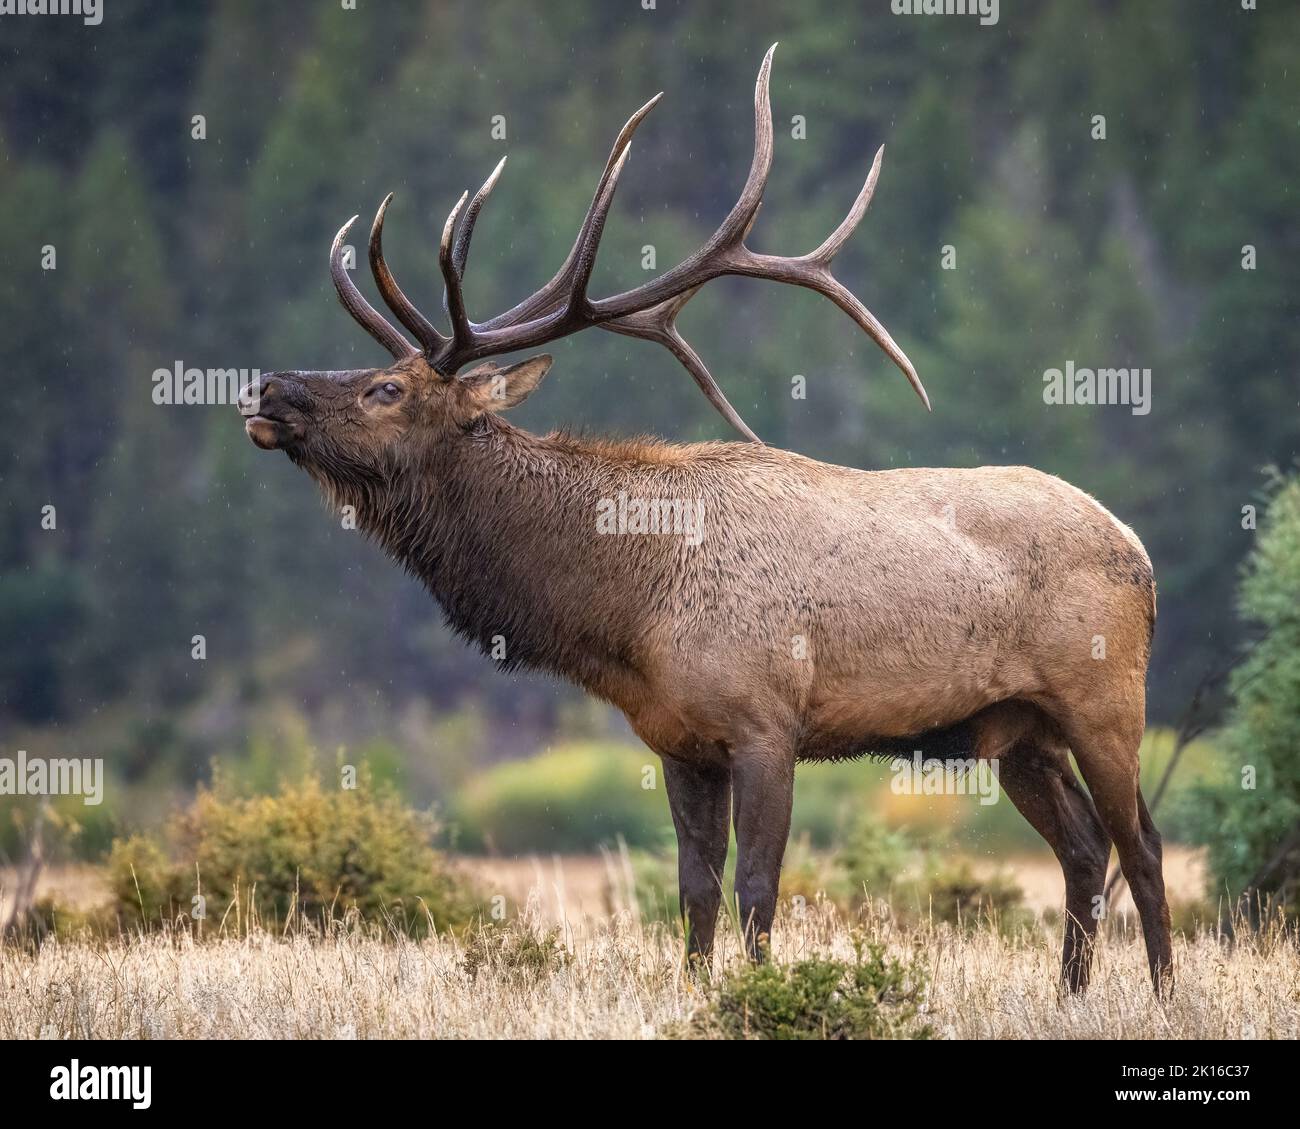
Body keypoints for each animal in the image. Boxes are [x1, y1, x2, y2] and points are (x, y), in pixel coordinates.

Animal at [237, 46, 1171, 994]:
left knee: (1141, 843)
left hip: (1104, 698)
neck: (627, 615)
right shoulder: (677, 741)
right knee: (1083, 847)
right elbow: (694, 892)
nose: (269, 387)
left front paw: (763, 992)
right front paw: (698, 991)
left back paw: (1162, 994)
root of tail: (1140, 549)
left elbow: (758, 887)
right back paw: (1069, 993)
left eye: (385, 388)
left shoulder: (767, 721)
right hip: (1017, 730)